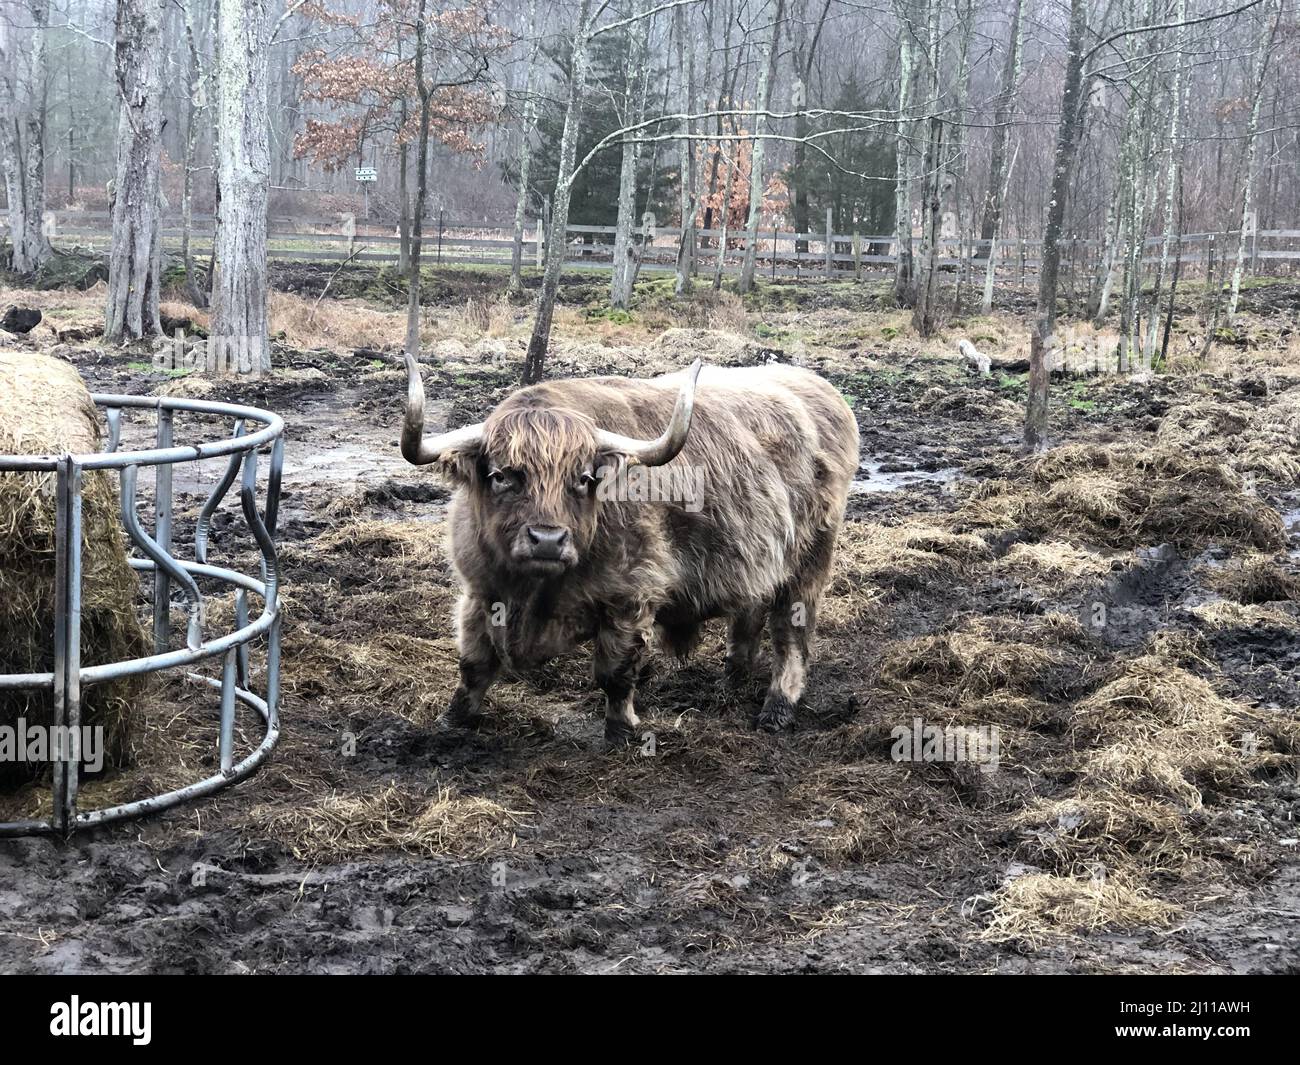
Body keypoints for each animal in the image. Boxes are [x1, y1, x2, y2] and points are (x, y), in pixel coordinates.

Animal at [399, 352, 860, 743]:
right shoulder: (479, 592)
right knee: (750, 613)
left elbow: (615, 673)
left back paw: (776, 709)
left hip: (810, 560)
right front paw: (449, 723)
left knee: (790, 633)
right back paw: (731, 680)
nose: (547, 540)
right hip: (758, 558)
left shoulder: (629, 597)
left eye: (584, 479)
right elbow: (473, 665)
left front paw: (621, 733)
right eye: (501, 476)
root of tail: (820, 388)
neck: (533, 593)